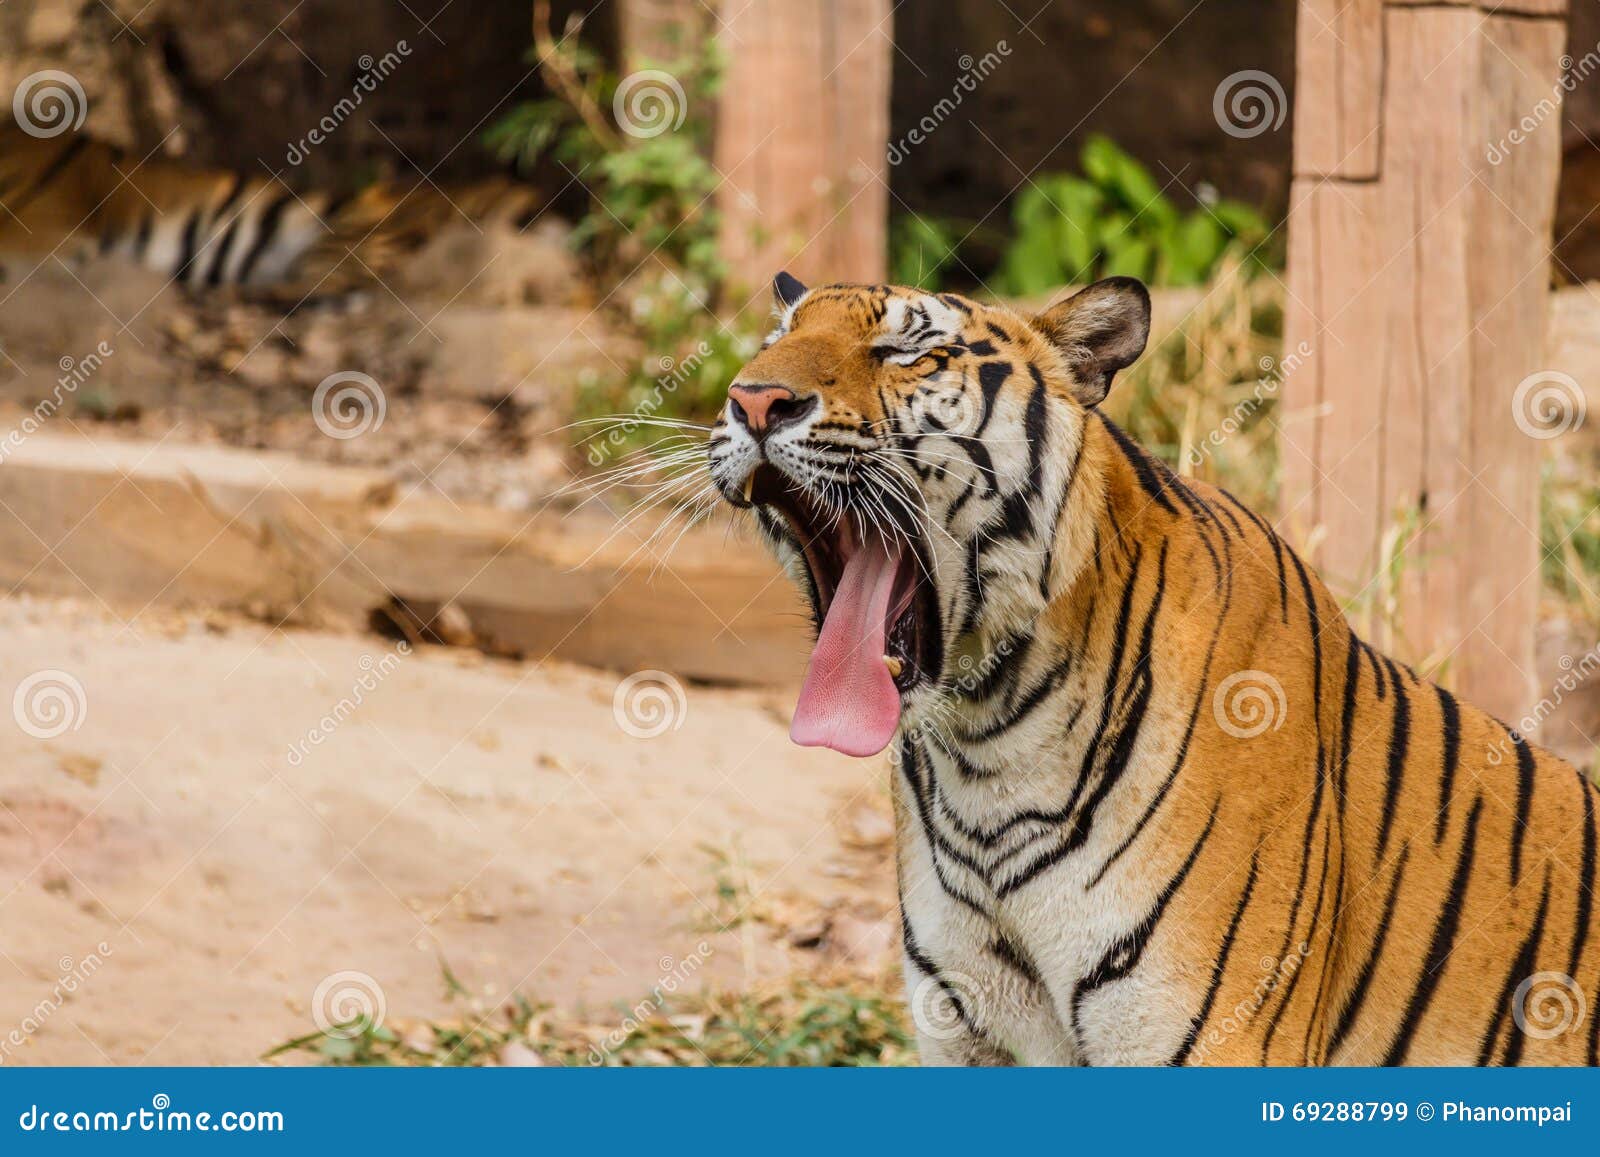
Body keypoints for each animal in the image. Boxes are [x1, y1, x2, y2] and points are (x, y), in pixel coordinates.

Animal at [706, 272, 1600, 1066]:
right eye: (775, 340)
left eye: (909, 351)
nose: (753, 400)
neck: (985, 742)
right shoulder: (968, 1029)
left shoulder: (1218, 1034)